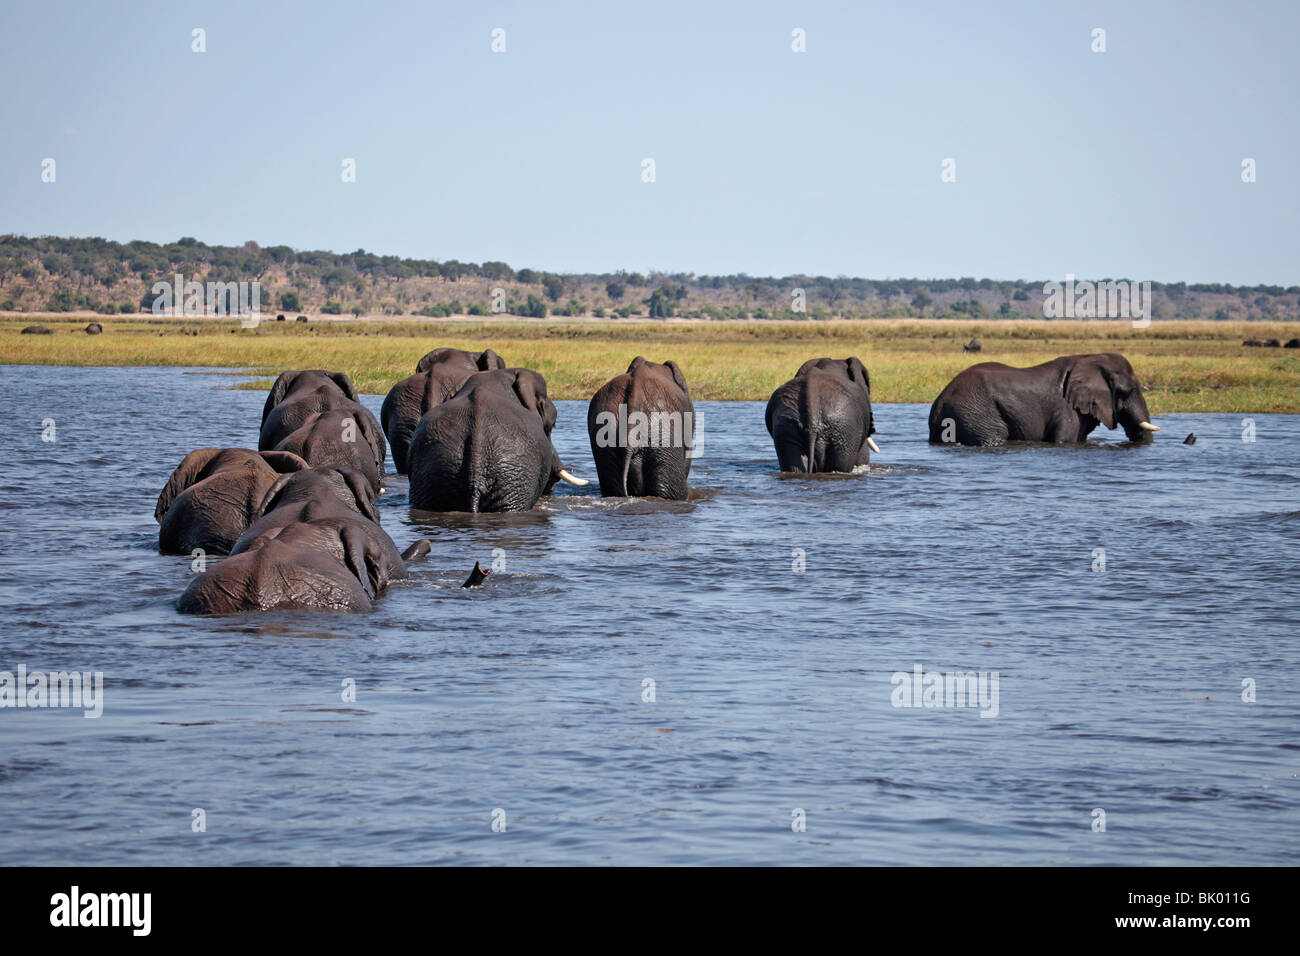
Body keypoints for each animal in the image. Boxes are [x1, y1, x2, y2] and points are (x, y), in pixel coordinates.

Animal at [928, 352, 1159, 446]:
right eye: (1128, 391)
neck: (1090, 358)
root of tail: (939, 403)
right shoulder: (1066, 410)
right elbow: (1064, 439)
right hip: (974, 413)